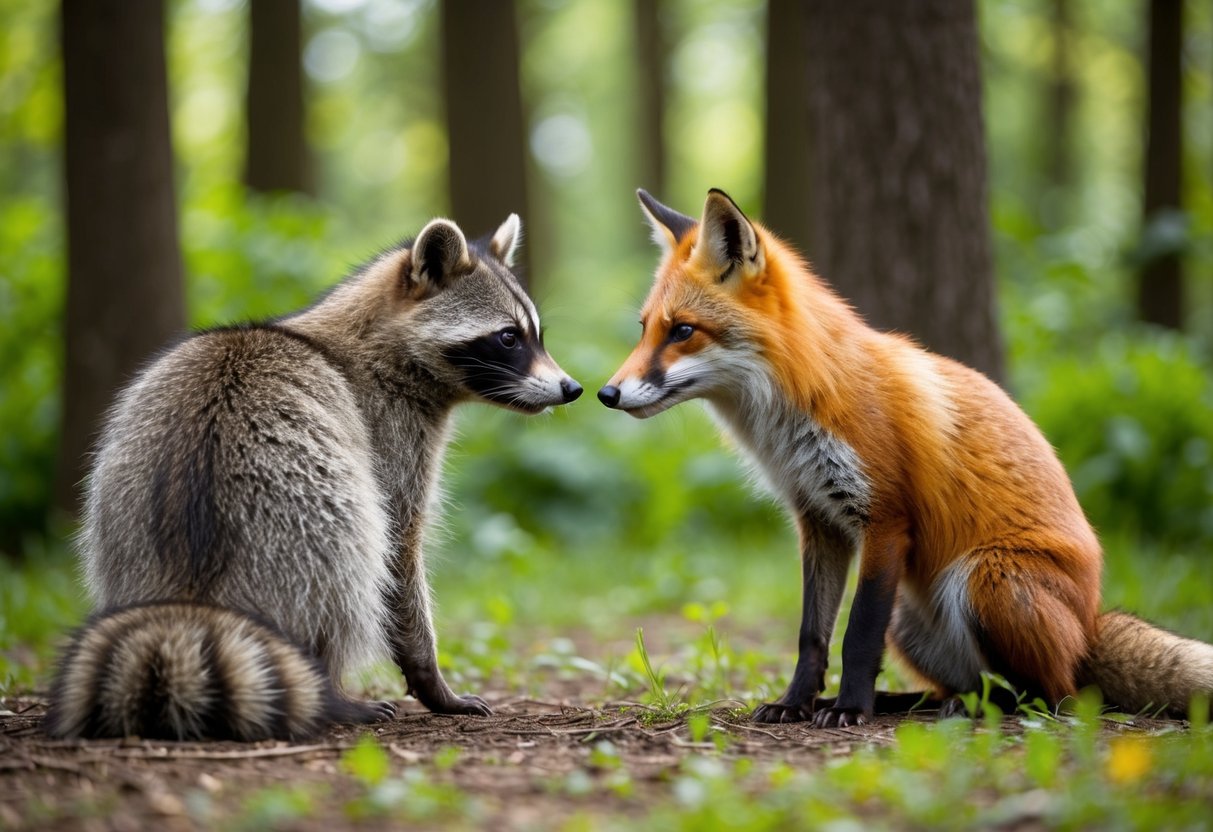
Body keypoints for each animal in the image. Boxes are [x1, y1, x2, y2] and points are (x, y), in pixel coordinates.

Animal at [46, 214, 583, 741]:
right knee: (355, 574)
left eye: (537, 334)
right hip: (312, 529)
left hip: (121, 497)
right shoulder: (390, 432)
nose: (572, 388)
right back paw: (330, 687)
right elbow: (400, 550)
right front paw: (430, 678)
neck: (379, 342)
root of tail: (190, 599)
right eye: (509, 337)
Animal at [599, 187, 1213, 726]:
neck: (802, 408)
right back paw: (912, 703)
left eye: (683, 331)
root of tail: (1089, 625)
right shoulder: (819, 522)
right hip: (912, 618)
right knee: (970, 684)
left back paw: (964, 709)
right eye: (644, 329)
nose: (606, 393)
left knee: (1052, 696)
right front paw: (798, 704)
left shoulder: (885, 520)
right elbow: (812, 634)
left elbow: (857, 634)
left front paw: (849, 709)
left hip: (985, 578)